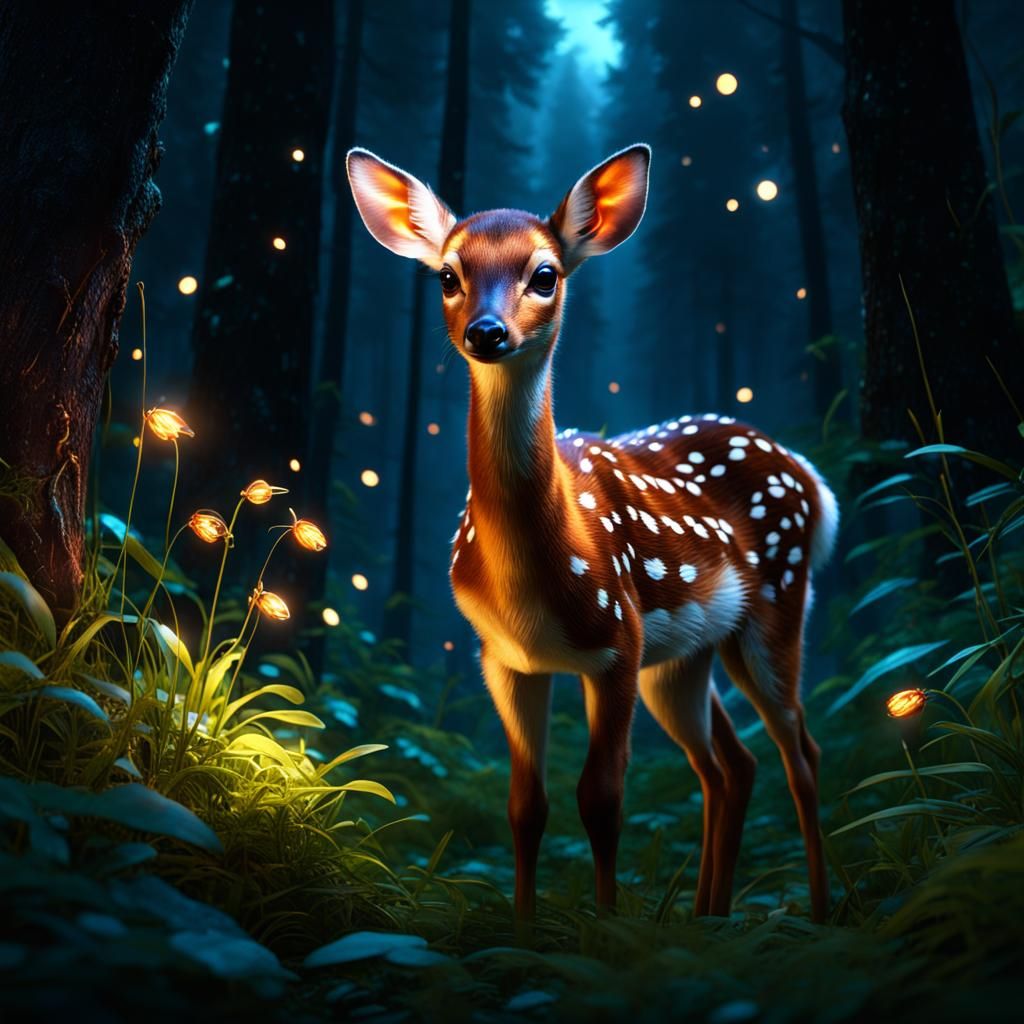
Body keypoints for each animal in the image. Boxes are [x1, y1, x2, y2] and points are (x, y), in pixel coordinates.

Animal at [347, 143, 839, 923]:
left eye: (545, 275)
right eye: (448, 276)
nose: (487, 332)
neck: (536, 577)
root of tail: (808, 477)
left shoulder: (617, 643)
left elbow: (602, 801)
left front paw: (606, 930)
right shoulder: (505, 658)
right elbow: (525, 807)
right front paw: (522, 928)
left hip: (775, 607)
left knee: (801, 754)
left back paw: (817, 912)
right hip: (684, 658)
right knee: (730, 765)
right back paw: (706, 915)